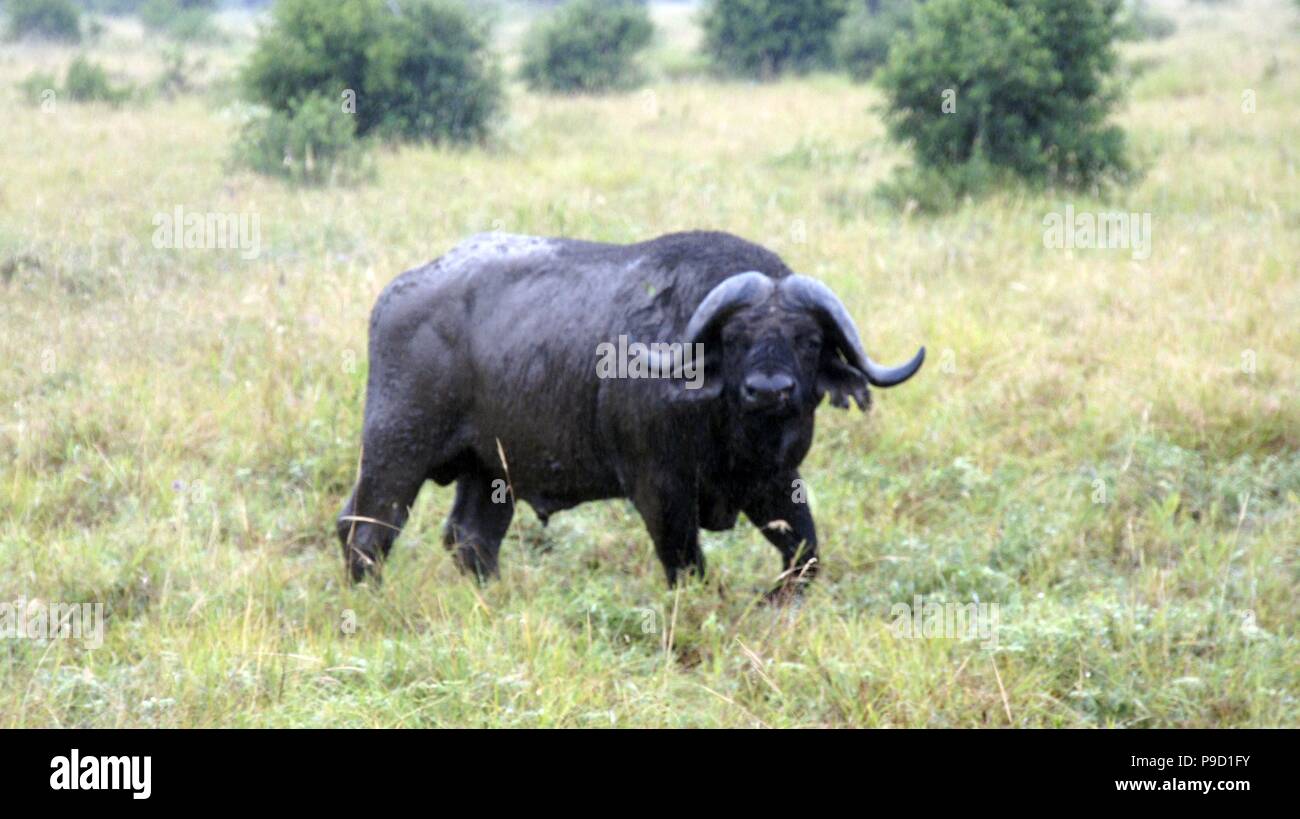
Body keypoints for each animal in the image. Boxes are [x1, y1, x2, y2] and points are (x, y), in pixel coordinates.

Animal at [337, 231, 924, 592]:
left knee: (470, 540)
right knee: (366, 530)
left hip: (490, 471)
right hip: (395, 451)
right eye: (735, 337)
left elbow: (806, 555)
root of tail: (394, 296)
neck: (733, 432)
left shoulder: (776, 484)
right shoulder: (660, 492)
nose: (769, 390)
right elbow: (687, 568)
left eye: (808, 340)